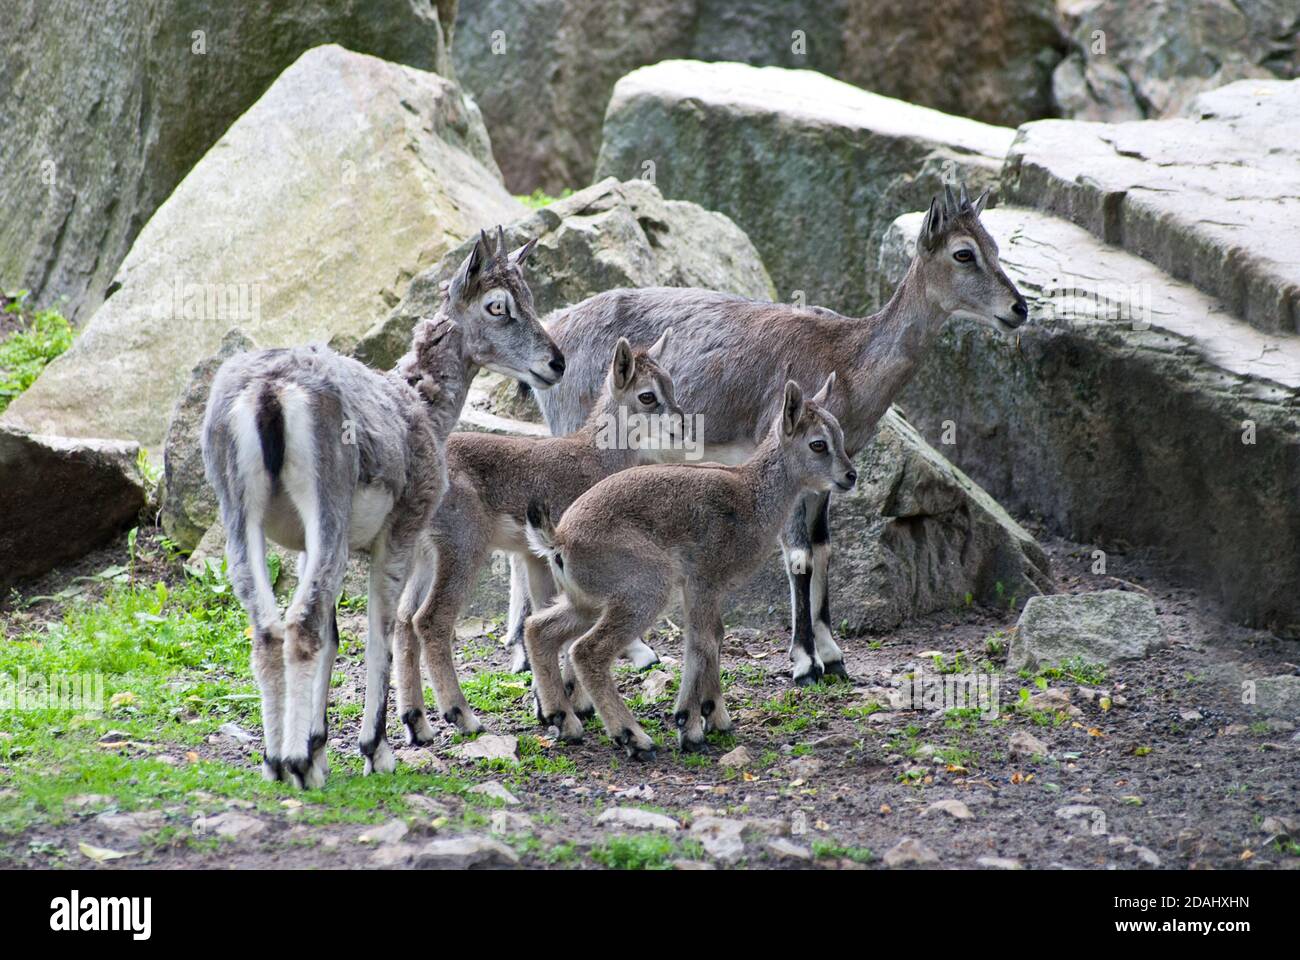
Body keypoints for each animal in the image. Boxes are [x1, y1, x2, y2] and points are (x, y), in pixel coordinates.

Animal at [201, 228, 563, 788]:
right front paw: (376, 747)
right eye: (498, 305)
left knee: (268, 628)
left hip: (244, 521)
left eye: (530, 296)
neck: (423, 410)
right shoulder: (400, 534)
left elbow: (334, 637)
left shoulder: (303, 548)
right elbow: (383, 630)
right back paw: (298, 765)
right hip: (328, 513)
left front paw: (320, 745)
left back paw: (276, 762)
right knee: (302, 624)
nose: (554, 363)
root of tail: (270, 395)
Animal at [390, 331, 685, 743]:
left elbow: (542, 619)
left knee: (403, 621)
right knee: (430, 620)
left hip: (424, 557)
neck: (595, 458)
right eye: (646, 395)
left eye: (670, 384)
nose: (682, 425)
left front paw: (551, 708)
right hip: (462, 548)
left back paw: (416, 723)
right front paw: (571, 707)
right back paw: (462, 715)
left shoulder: (536, 559)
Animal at [521, 186, 1027, 685]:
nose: (1018, 309)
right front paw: (805, 661)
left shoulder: (827, 476)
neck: (849, 362)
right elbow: (799, 556)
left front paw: (833, 655)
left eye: (996, 247)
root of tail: (557, 329)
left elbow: (823, 550)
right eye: (964, 253)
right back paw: (627, 651)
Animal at [525, 375, 855, 756]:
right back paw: (632, 735)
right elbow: (702, 643)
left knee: (539, 630)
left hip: (587, 602)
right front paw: (691, 725)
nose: (850, 475)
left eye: (841, 435)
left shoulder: (707, 589)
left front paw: (714, 717)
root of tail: (560, 539)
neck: (751, 498)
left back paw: (562, 719)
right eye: (818, 444)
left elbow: (713, 637)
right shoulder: (703, 581)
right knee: (587, 651)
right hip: (645, 589)